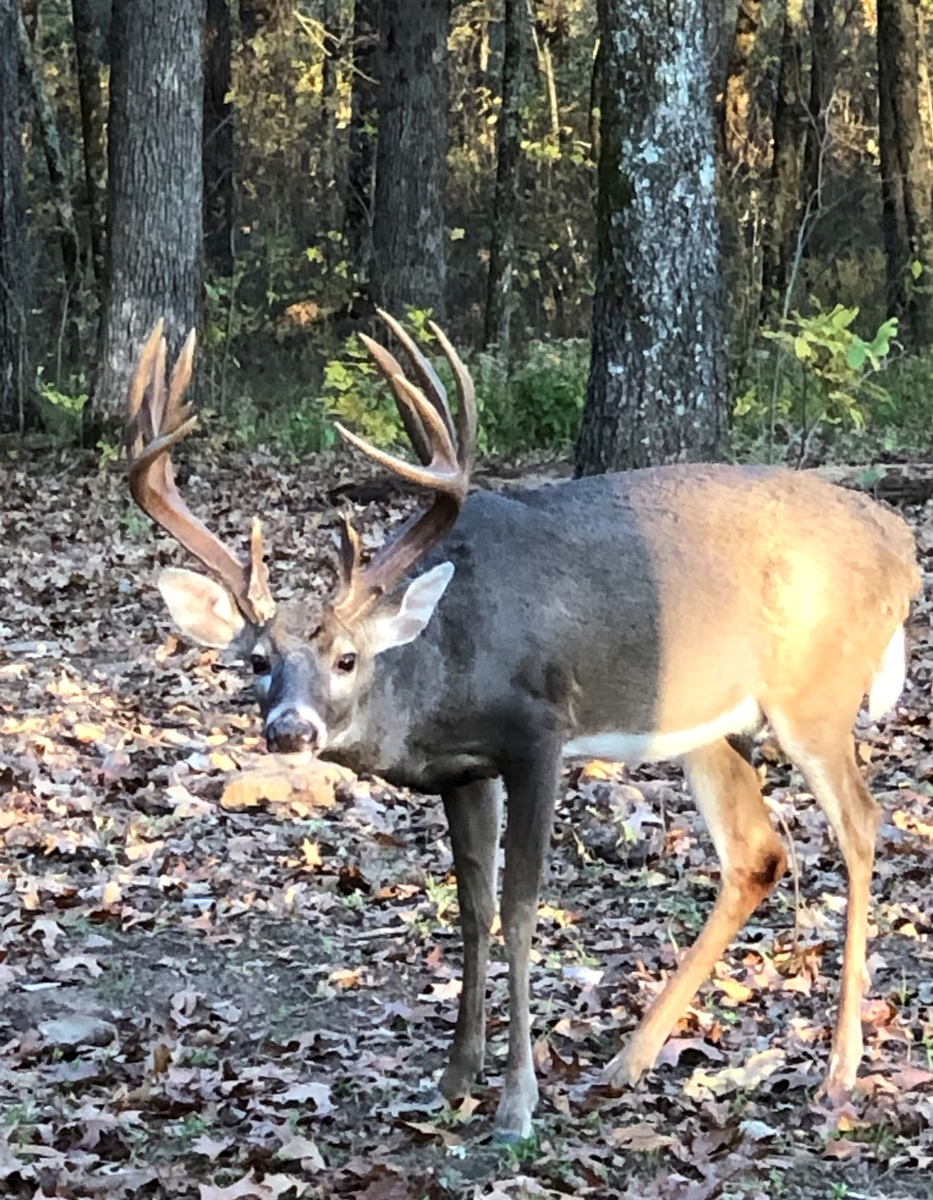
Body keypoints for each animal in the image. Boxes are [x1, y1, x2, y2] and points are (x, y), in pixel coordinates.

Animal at [126, 312, 921, 1142]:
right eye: (257, 661)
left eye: (346, 658)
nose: (290, 731)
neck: (446, 656)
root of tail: (901, 548)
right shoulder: (464, 770)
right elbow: (473, 907)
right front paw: (452, 1078)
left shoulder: (538, 734)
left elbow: (520, 906)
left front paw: (515, 1103)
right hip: (709, 724)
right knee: (756, 853)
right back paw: (628, 1061)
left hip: (815, 695)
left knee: (861, 822)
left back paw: (837, 1074)